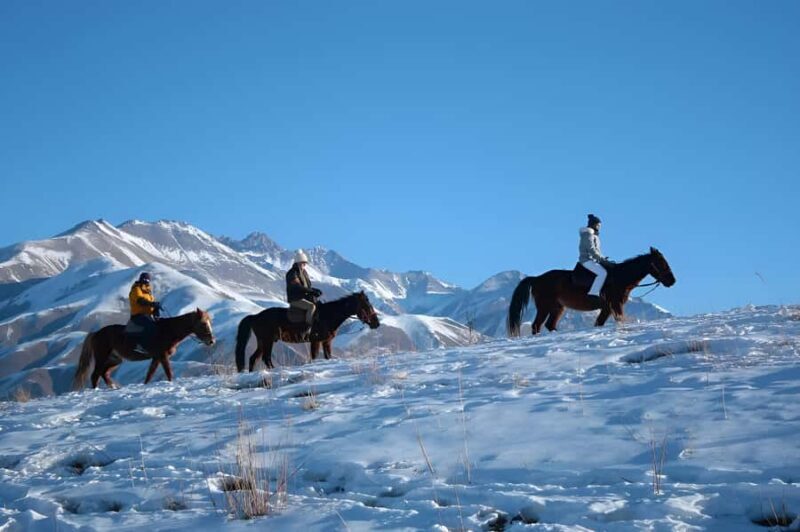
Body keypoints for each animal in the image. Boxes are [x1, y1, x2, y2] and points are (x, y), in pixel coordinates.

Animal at [73, 308, 216, 390]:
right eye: (203, 323)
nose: (211, 341)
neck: (168, 330)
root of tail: (96, 333)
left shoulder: (156, 357)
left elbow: (149, 374)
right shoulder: (162, 356)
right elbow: (168, 373)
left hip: (115, 360)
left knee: (104, 373)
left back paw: (113, 387)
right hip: (101, 357)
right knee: (95, 375)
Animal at [236, 291, 380, 372]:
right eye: (367, 306)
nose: (376, 323)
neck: (328, 315)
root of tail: (255, 316)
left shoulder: (326, 342)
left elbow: (327, 356)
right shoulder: (316, 341)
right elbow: (315, 356)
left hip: (262, 342)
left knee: (253, 358)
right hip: (268, 341)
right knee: (266, 358)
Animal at [507, 247, 676, 336]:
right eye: (661, 262)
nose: (672, 281)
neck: (619, 277)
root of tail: (536, 278)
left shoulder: (607, 308)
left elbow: (599, 323)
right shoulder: (615, 305)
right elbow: (619, 320)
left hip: (558, 308)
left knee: (550, 325)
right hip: (544, 307)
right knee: (536, 326)